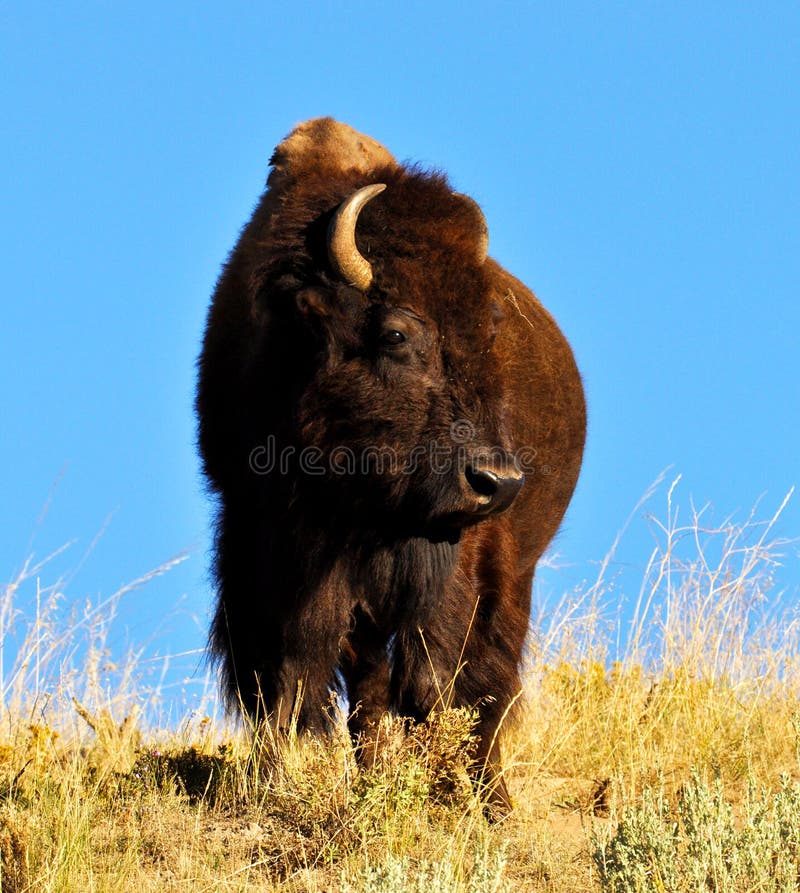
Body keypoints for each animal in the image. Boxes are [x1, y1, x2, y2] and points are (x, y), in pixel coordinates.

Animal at [196, 118, 585, 811]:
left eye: (490, 333)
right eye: (397, 335)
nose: (499, 482)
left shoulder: (452, 553)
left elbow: (432, 680)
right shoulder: (265, 542)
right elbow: (293, 674)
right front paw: (277, 784)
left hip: (511, 574)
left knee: (486, 679)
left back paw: (489, 797)